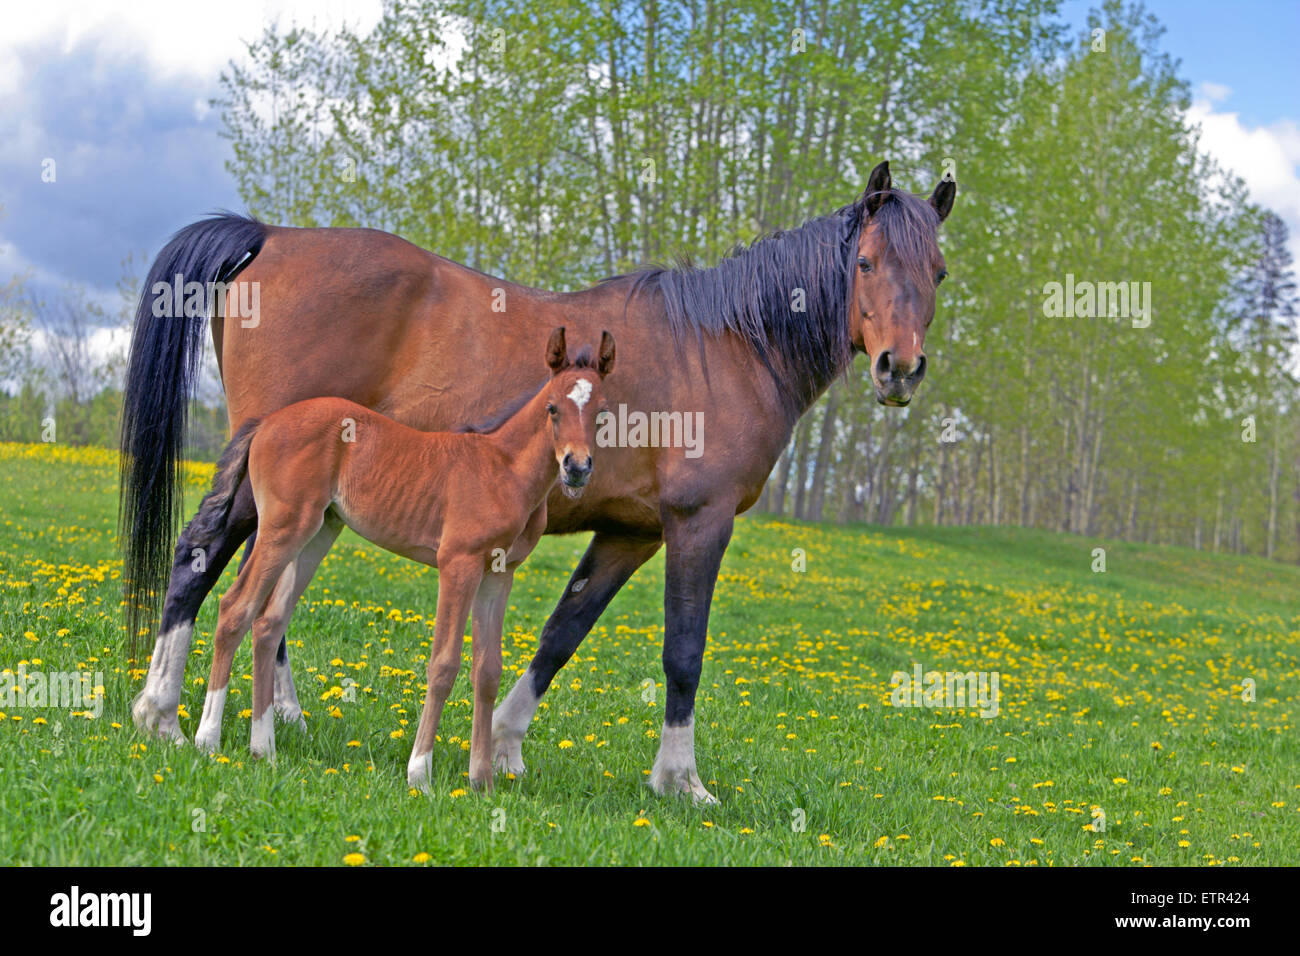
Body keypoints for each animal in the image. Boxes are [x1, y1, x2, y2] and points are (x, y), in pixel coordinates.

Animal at [189, 327, 613, 792]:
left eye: (601, 413)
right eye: (553, 408)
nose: (577, 467)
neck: (505, 469)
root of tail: (267, 422)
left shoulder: (499, 574)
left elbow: (488, 671)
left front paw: (481, 780)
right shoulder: (458, 564)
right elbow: (444, 664)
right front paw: (420, 773)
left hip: (318, 532)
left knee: (268, 622)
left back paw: (264, 748)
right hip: (282, 530)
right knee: (235, 608)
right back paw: (207, 738)